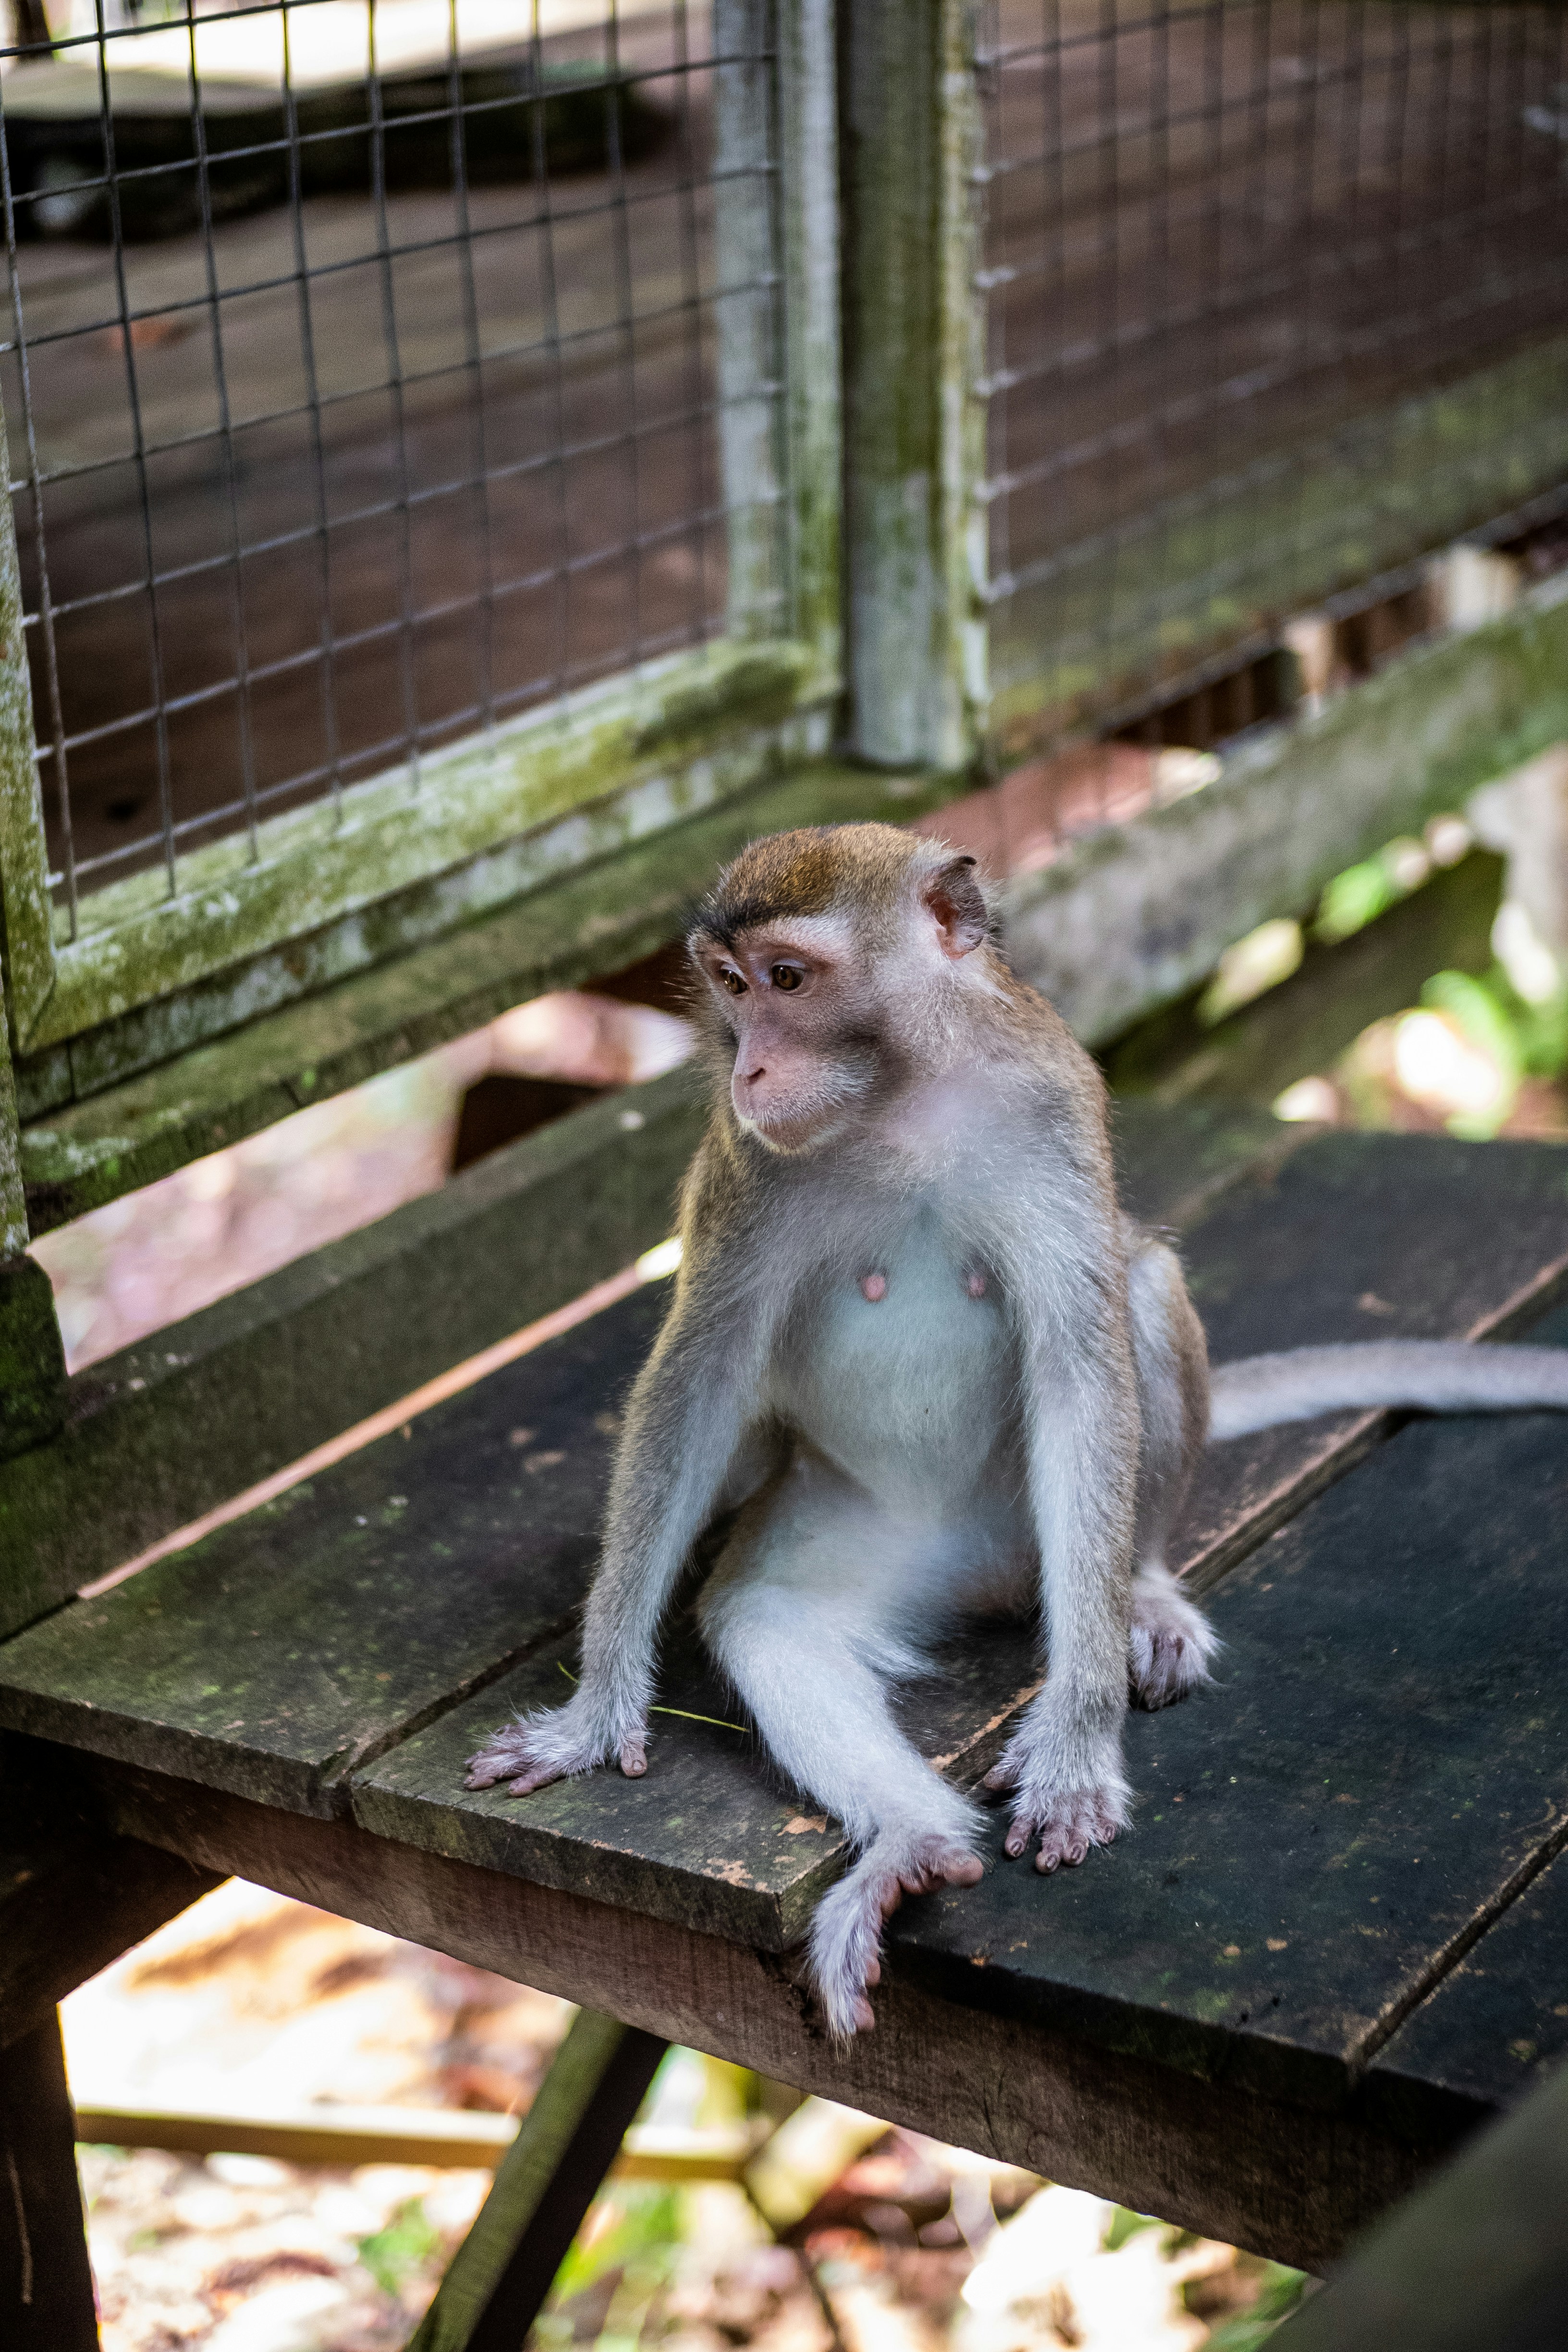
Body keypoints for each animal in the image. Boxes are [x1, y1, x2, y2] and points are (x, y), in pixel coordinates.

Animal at [466, 823, 1568, 2038]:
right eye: (731, 987)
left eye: (790, 980)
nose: (748, 1066)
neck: (903, 1098)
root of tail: (974, 1576)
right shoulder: (746, 1169)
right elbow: (699, 1379)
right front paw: (597, 1705)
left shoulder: (1050, 1109)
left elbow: (1081, 1363)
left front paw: (1076, 1746)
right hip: (859, 1528)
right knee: (768, 1621)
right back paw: (909, 1843)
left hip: (1035, 1528)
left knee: (1139, 1291)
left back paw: (1140, 1594)